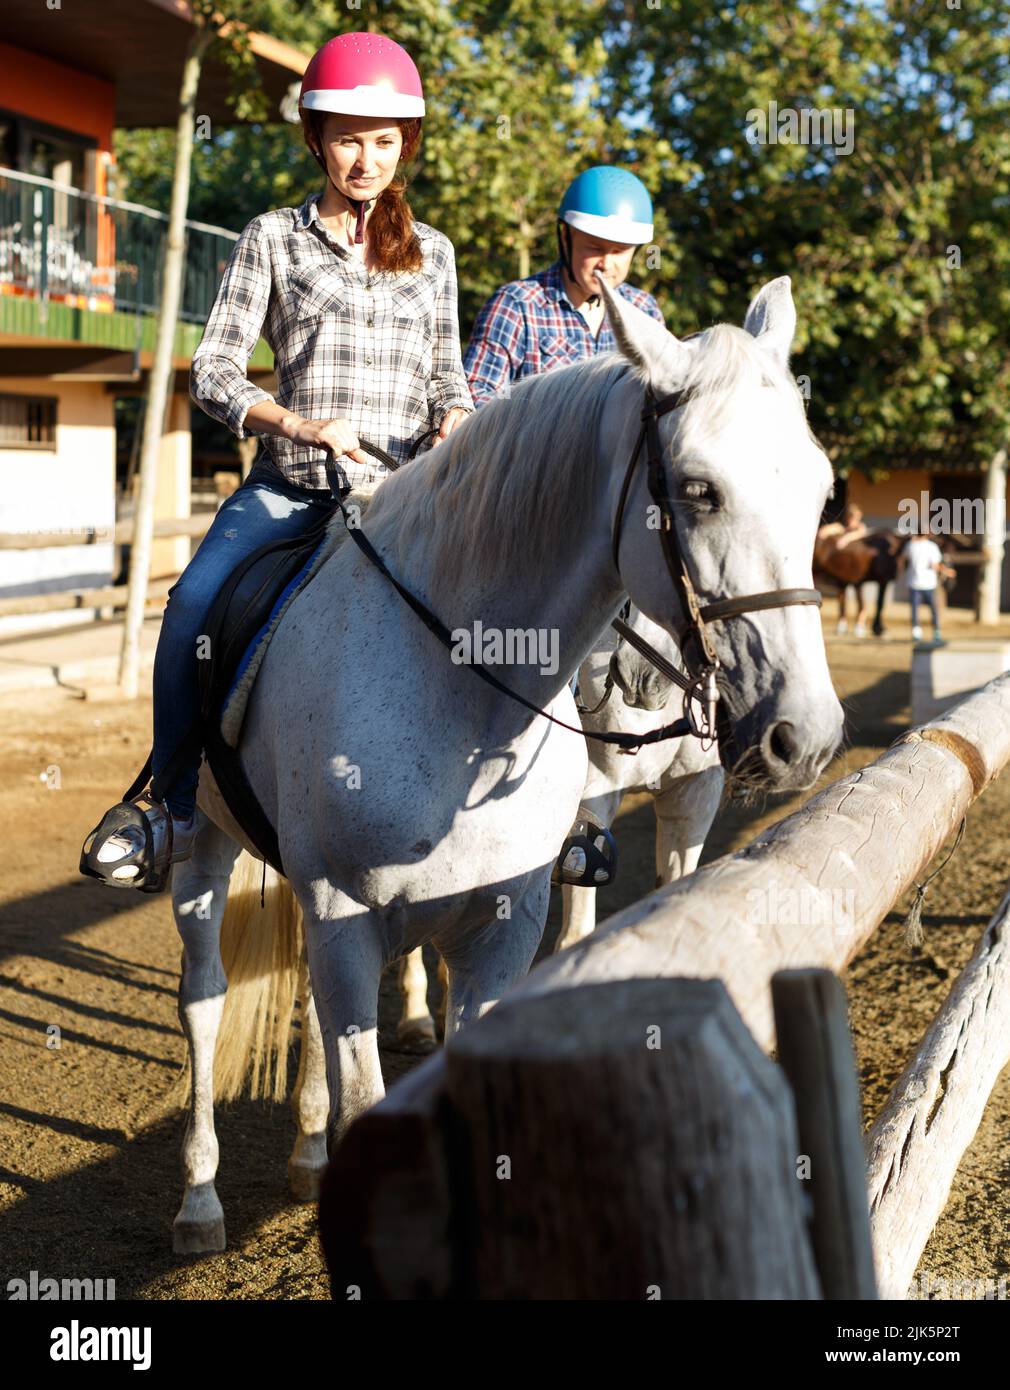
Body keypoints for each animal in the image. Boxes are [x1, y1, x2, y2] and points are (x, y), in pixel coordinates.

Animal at [168, 272, 844, 1253]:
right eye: (698, 489)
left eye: (823, 489)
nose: (806, 734)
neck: (450, 682)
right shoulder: (343, 915)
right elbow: (367, 1093)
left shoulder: (507, 916)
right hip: (202, 849)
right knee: (205, 998)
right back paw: (199, 1200)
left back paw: (306, 1152)